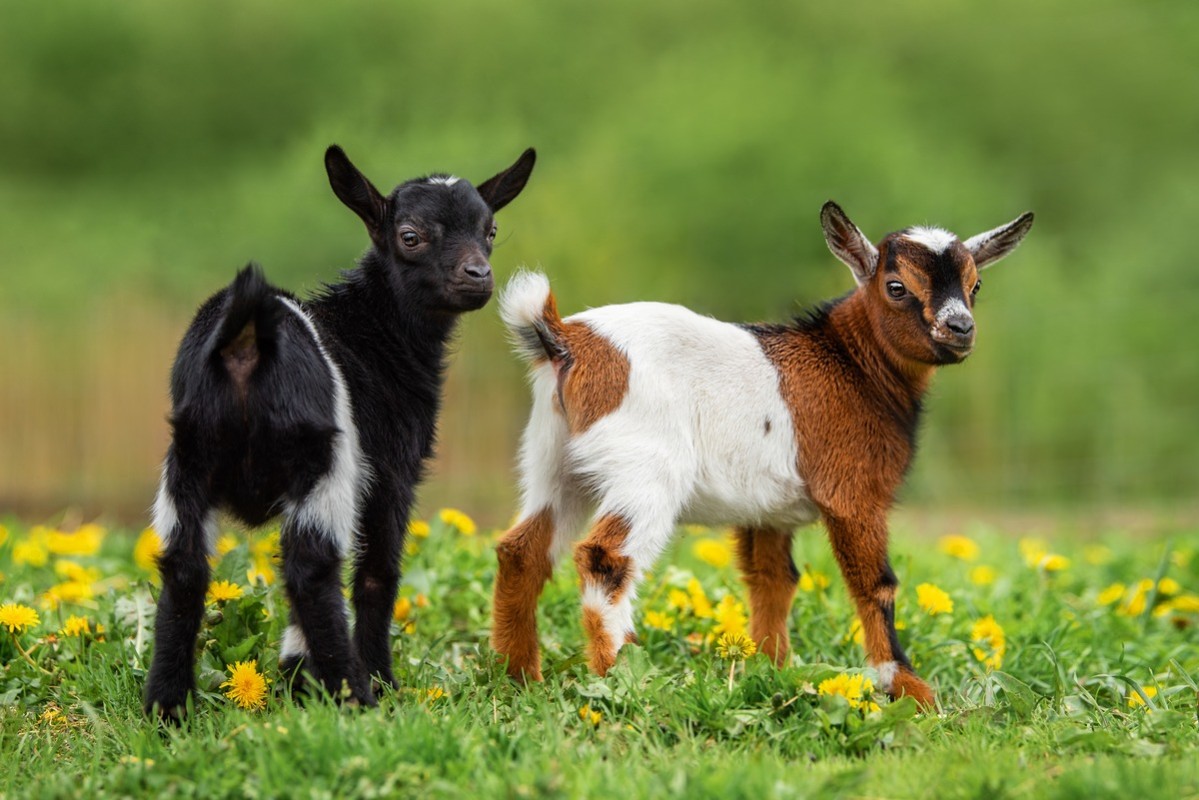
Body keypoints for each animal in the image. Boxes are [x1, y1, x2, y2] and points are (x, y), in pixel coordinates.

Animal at [144, 145, 536, 717]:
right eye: (410, 236)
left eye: (491, 229)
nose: (478, 274)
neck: (373, 330)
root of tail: (244, 339)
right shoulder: (390, 470)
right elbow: (378, 572)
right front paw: (375, 679)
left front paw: (295, 677)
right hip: (323, 462)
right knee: (312, 569)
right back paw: (358, 698)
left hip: (187, 458)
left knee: (185, 567)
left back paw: (167, 710)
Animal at [491, 202, 1032, 707]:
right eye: (896, 286)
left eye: (976, 285)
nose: (960, 328)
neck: (851, 364)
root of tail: (565, 339)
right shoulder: (853, 492)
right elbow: (875, 583)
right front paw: (908, 688)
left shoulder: (767, 511)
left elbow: (772, 579)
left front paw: (772, 669)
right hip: (645, 471)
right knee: (606, 558)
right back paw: (622, 681)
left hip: (553, 460)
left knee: (522, 550)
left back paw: (519, 678)